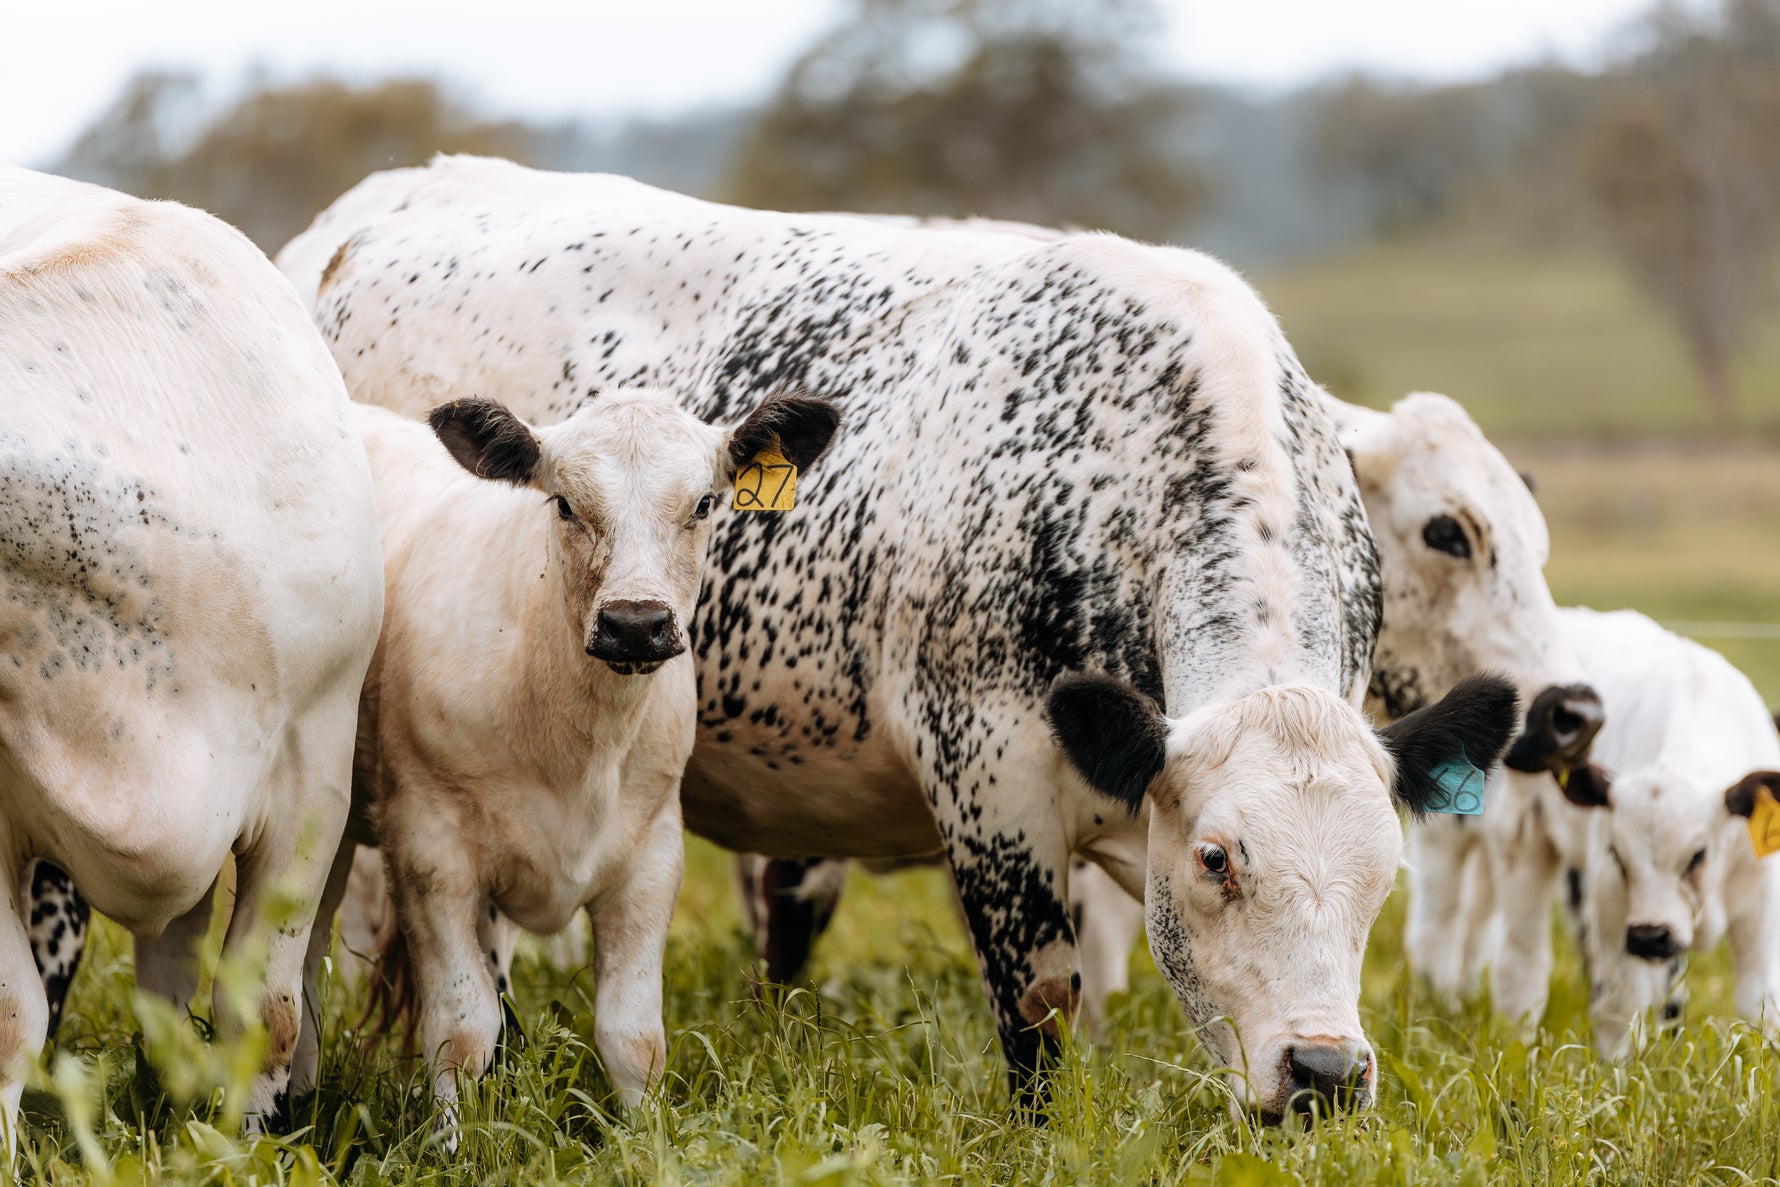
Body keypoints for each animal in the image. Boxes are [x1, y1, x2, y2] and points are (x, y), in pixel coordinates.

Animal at [325, 389, 837, 1126]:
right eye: (565, 503)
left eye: (704, 503)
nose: (635, 623)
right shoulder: (430, 852)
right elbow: (461, 1029)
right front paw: (453, 1140)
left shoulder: (652, 855)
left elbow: (634, 1037)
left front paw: (647, 1140)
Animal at [1541, 608, 1780, 1057]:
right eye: (1618, 854)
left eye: (1699, 854)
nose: (1650, 937)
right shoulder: (1611, 902)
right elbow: (1620, 1008)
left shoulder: (1764, 911)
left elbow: (1761, 1003)